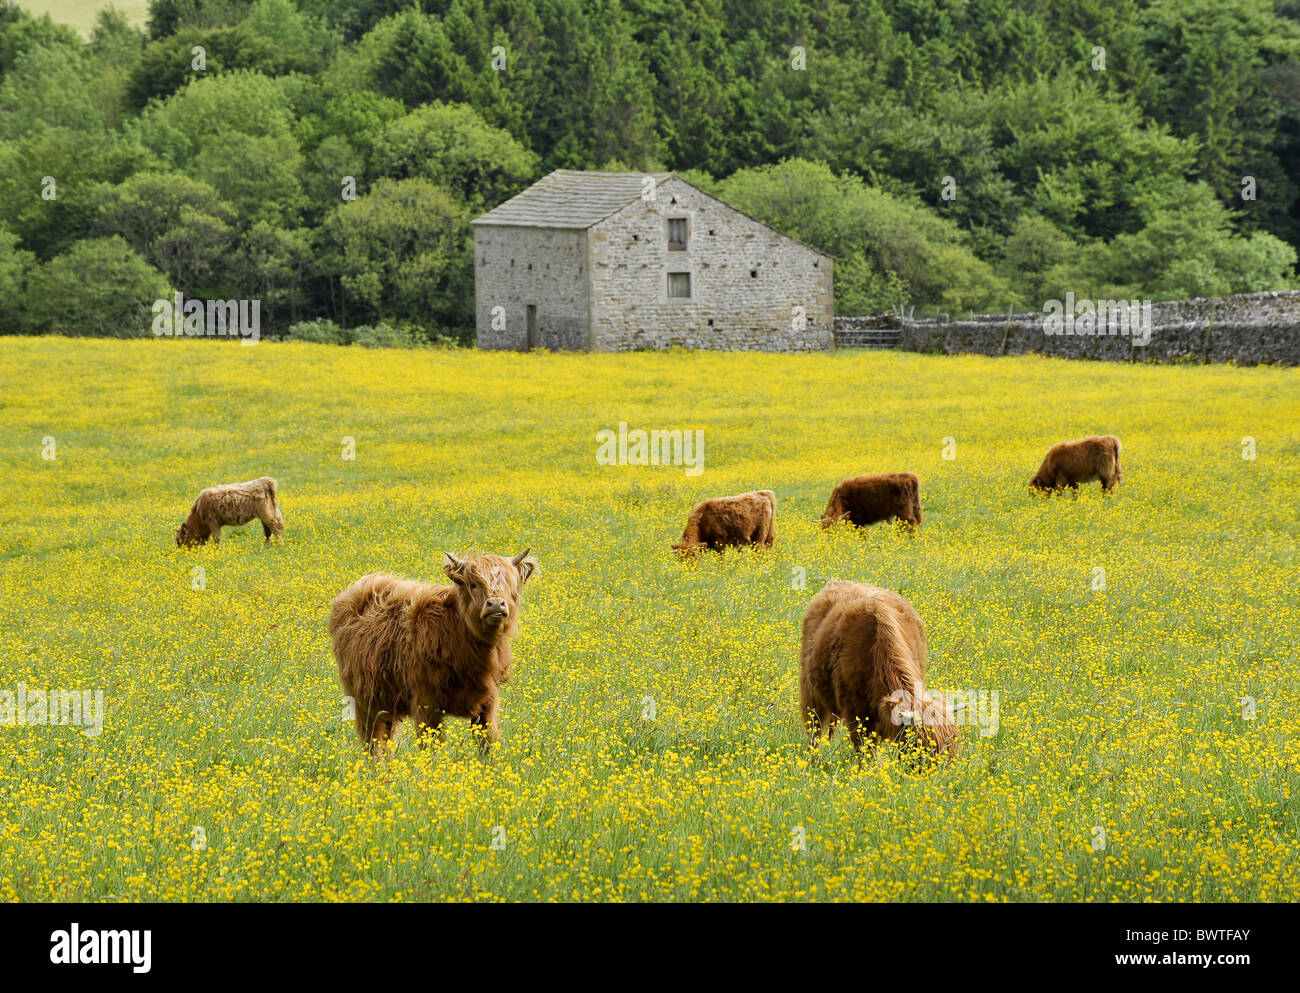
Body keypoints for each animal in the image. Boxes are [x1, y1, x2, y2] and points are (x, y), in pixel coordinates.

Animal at [328, 549, 538, 755]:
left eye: (511, 585)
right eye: (474, 584)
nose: (495, 604)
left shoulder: (488, 702)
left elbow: (487, 743)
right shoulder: (426, 703)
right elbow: (431, 746)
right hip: (364, 700)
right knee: (371, 741)